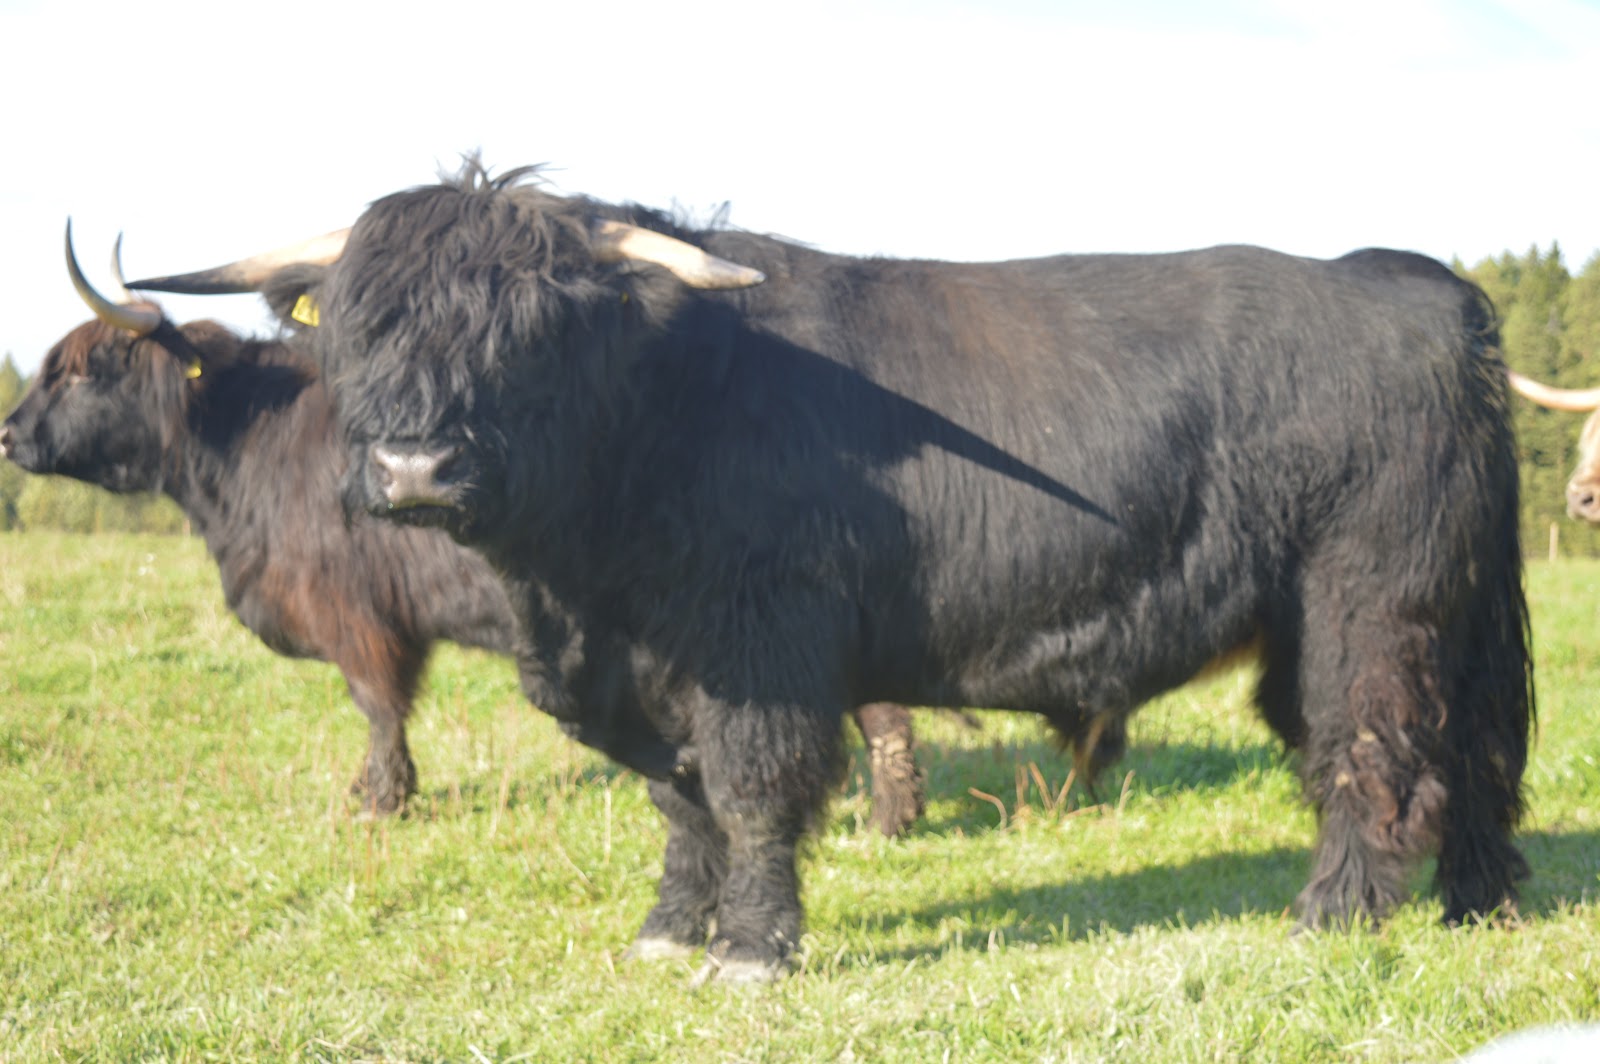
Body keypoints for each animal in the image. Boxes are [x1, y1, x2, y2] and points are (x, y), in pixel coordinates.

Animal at [1, 227, 928, 834]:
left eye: (83, 371)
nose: (8, 433)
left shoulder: (360, 617)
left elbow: (378, 708)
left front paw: (380, 801)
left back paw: (887, 816)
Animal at [132, 163, 1533, 982]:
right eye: (364, 323)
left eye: (527, 325)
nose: (415, 465)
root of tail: (1409, 280)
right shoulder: (656, 669)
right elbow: (681, 802)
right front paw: (667, 932)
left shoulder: (759, 647)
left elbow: (751, 793)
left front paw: (750, 951)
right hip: (1419, 608)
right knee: (1469, 751)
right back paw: (1478, 905)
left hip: (1368, 599)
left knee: (1376, 750)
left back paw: (1330, 917)